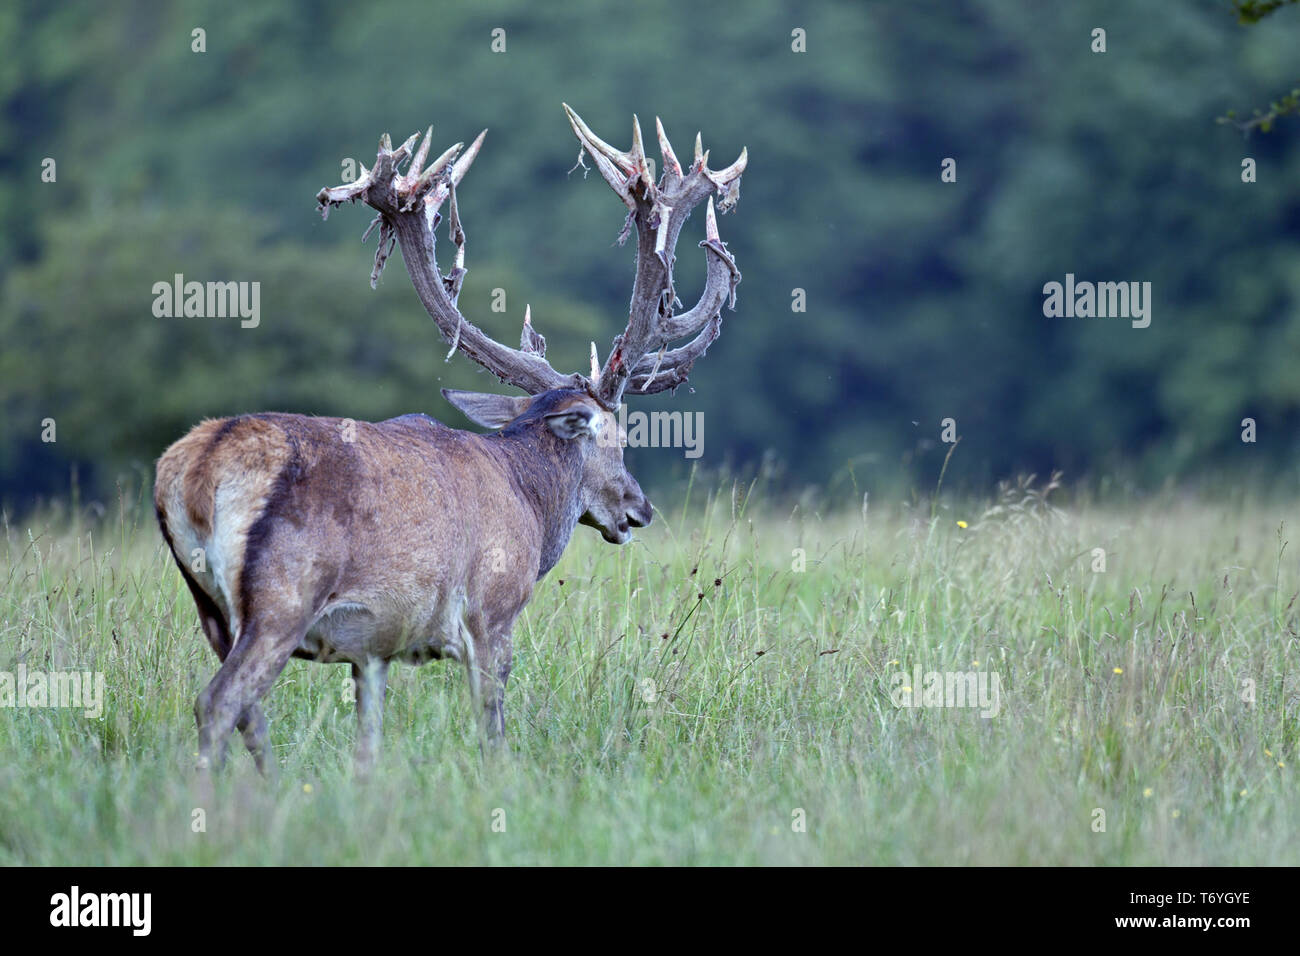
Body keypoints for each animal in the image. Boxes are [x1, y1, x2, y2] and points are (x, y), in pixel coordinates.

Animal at [153, 106, 745, 772]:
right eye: (613, 435)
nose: (639, 508)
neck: (530, 500)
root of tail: (193, 471)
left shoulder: (373, 647)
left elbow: (369, 737)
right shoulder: (493, 608)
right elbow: (492, 724)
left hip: (210, 606)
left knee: (244, 708)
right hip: (283, 595)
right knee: (218, 701)